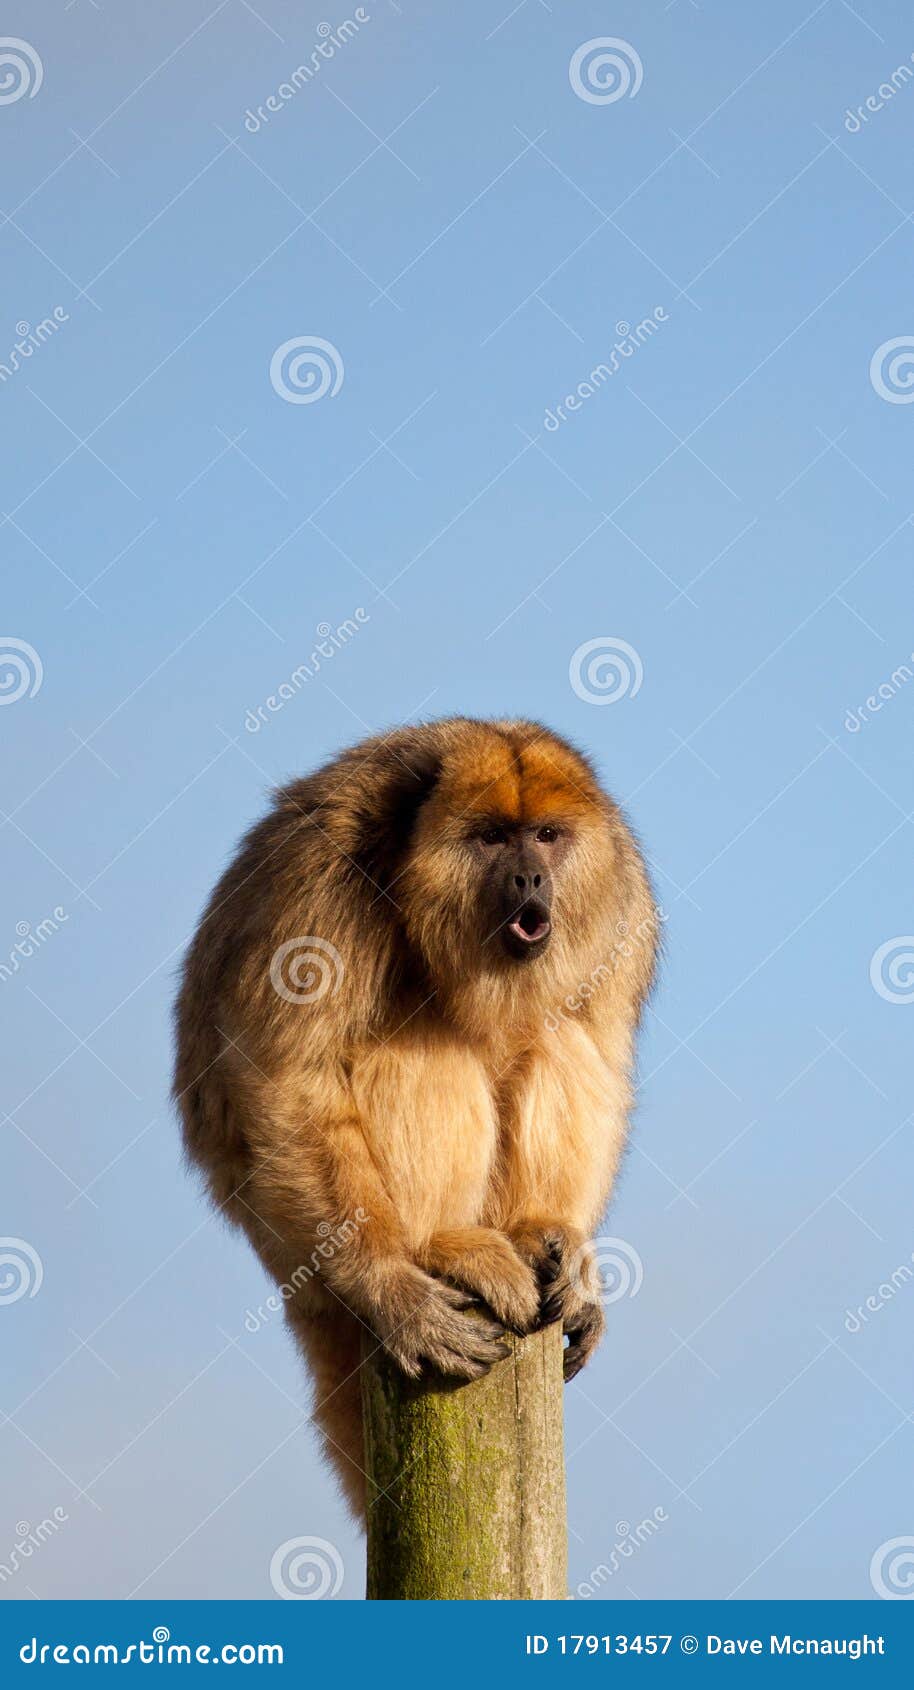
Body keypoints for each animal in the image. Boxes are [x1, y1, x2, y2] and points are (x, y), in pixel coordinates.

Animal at [173, 717, 658, 1520]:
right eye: (491, 838)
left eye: (547, 836)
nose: (531, 878)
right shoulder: (320, 878)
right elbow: (288, 1079)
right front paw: (389, 1287)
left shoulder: (625, 902)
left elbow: (605, 1048)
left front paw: (580, 1264)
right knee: (420, 1038)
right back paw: (438, 1247)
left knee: (562, 1035)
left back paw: (538, 1232)